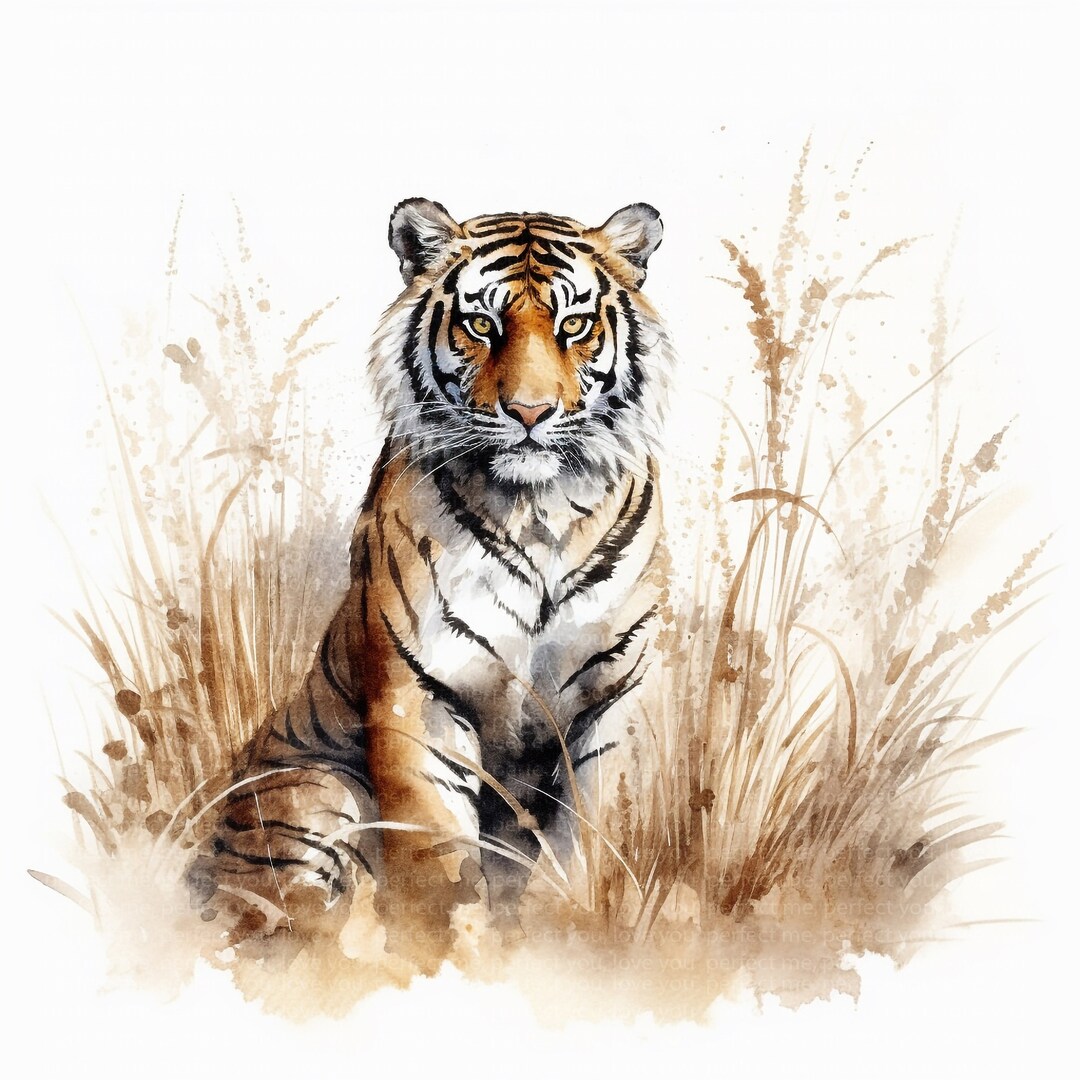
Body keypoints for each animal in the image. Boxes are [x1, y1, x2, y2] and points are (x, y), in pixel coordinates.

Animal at [187, 198, 673, 965]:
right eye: (482, 324)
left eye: (573, 325)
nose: (530, 413)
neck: (538, 512)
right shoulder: (420, 692)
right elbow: (436, 865)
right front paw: (446, 956)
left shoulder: (613, 697)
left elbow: (591, 846)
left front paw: (573, 932)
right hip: (310, 796)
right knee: (290, 922)